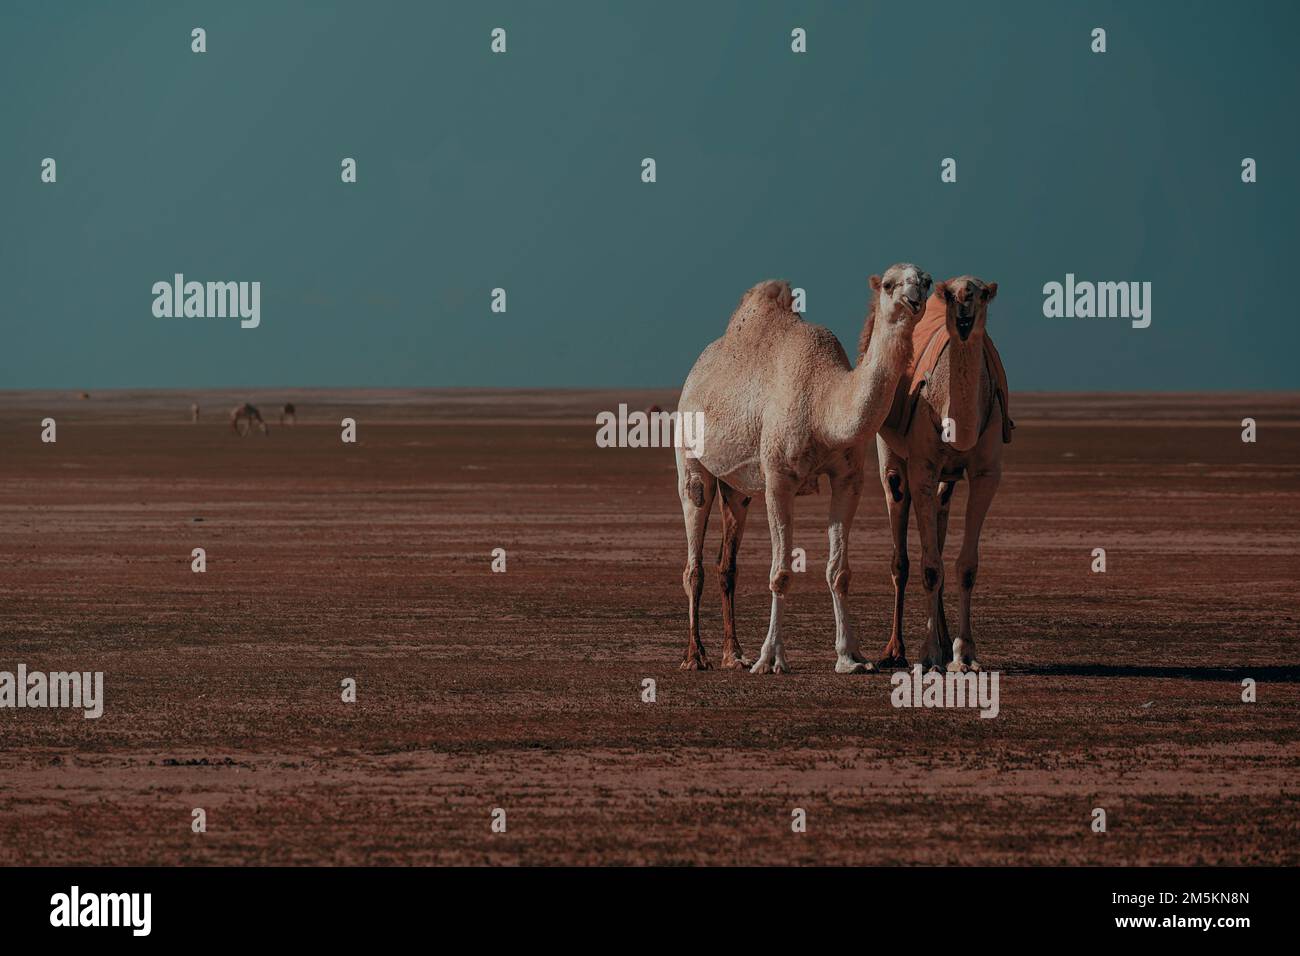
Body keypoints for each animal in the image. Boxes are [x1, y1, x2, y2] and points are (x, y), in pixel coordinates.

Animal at [675, 264, 932, 674]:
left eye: (926, 281)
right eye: (890, 284)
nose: (914, 298)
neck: (824, 403)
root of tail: (695, 374)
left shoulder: (849, 479)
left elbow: (838, 572)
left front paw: (850, 657)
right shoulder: (779, 479)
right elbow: (780, 573)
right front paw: (771, 659)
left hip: (737, 487)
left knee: (726, 563)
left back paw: (734, 654)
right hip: (690, 460)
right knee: (693, 560)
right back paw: (695, 655)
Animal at [872, 276, 1011, 673]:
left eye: (982, 293)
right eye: (949, 293)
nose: (963, 300)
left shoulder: (986, 473)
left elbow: (965, 566)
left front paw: (964, 653)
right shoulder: (922, 468)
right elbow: (929, 566)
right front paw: (927, 654)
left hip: (946, 483)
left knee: (941, 513)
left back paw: (946, 642)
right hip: (891, 458)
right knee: (901, 557)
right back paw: (895, 650)